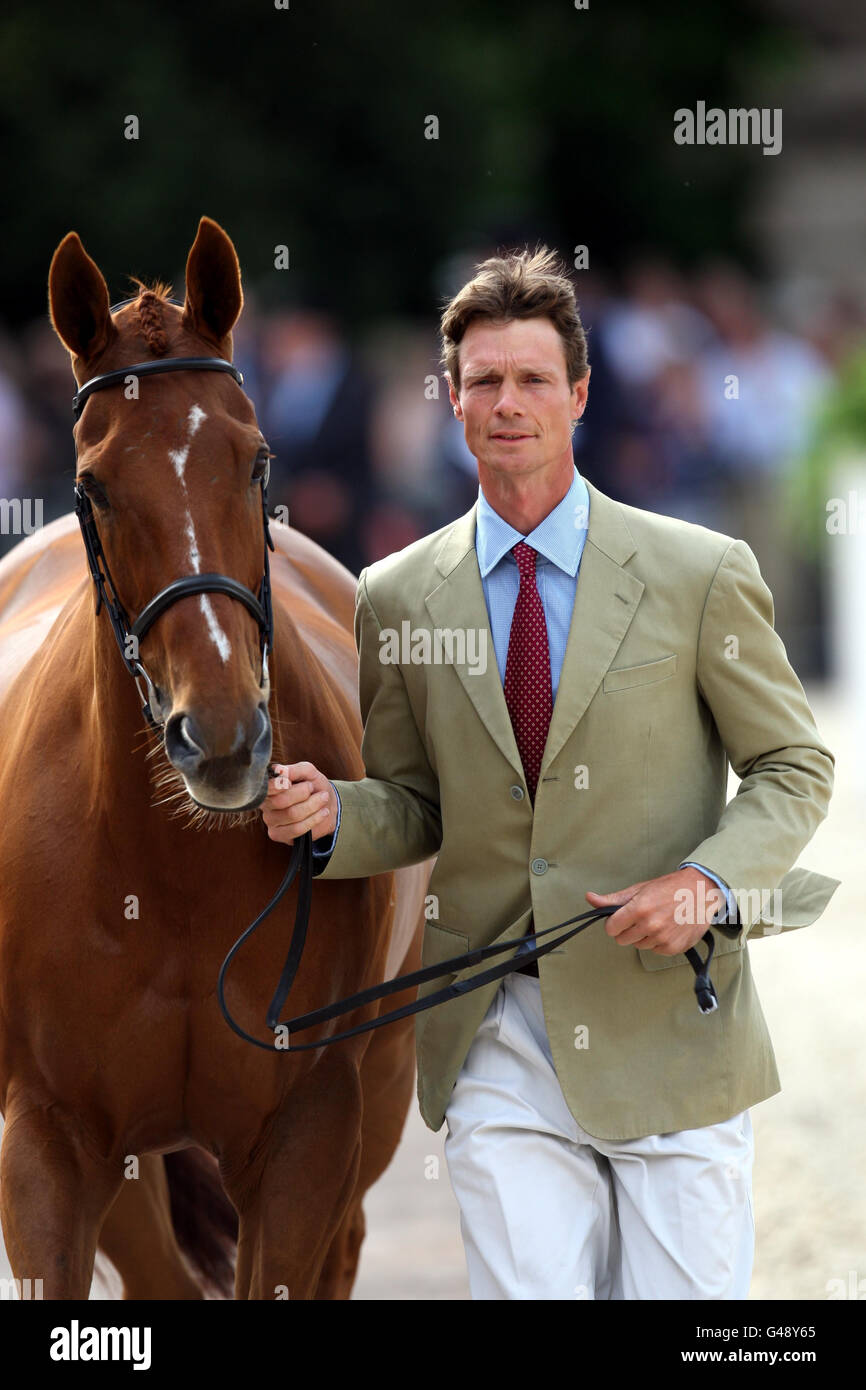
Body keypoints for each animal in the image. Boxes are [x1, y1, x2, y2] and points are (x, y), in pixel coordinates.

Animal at [0, 217, 430, 1299]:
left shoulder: (307, 1138)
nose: (225, 735)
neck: (168, 873)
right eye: (95, 484)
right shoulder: (50, 1143)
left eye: (256, 460)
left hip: (379, 1089)